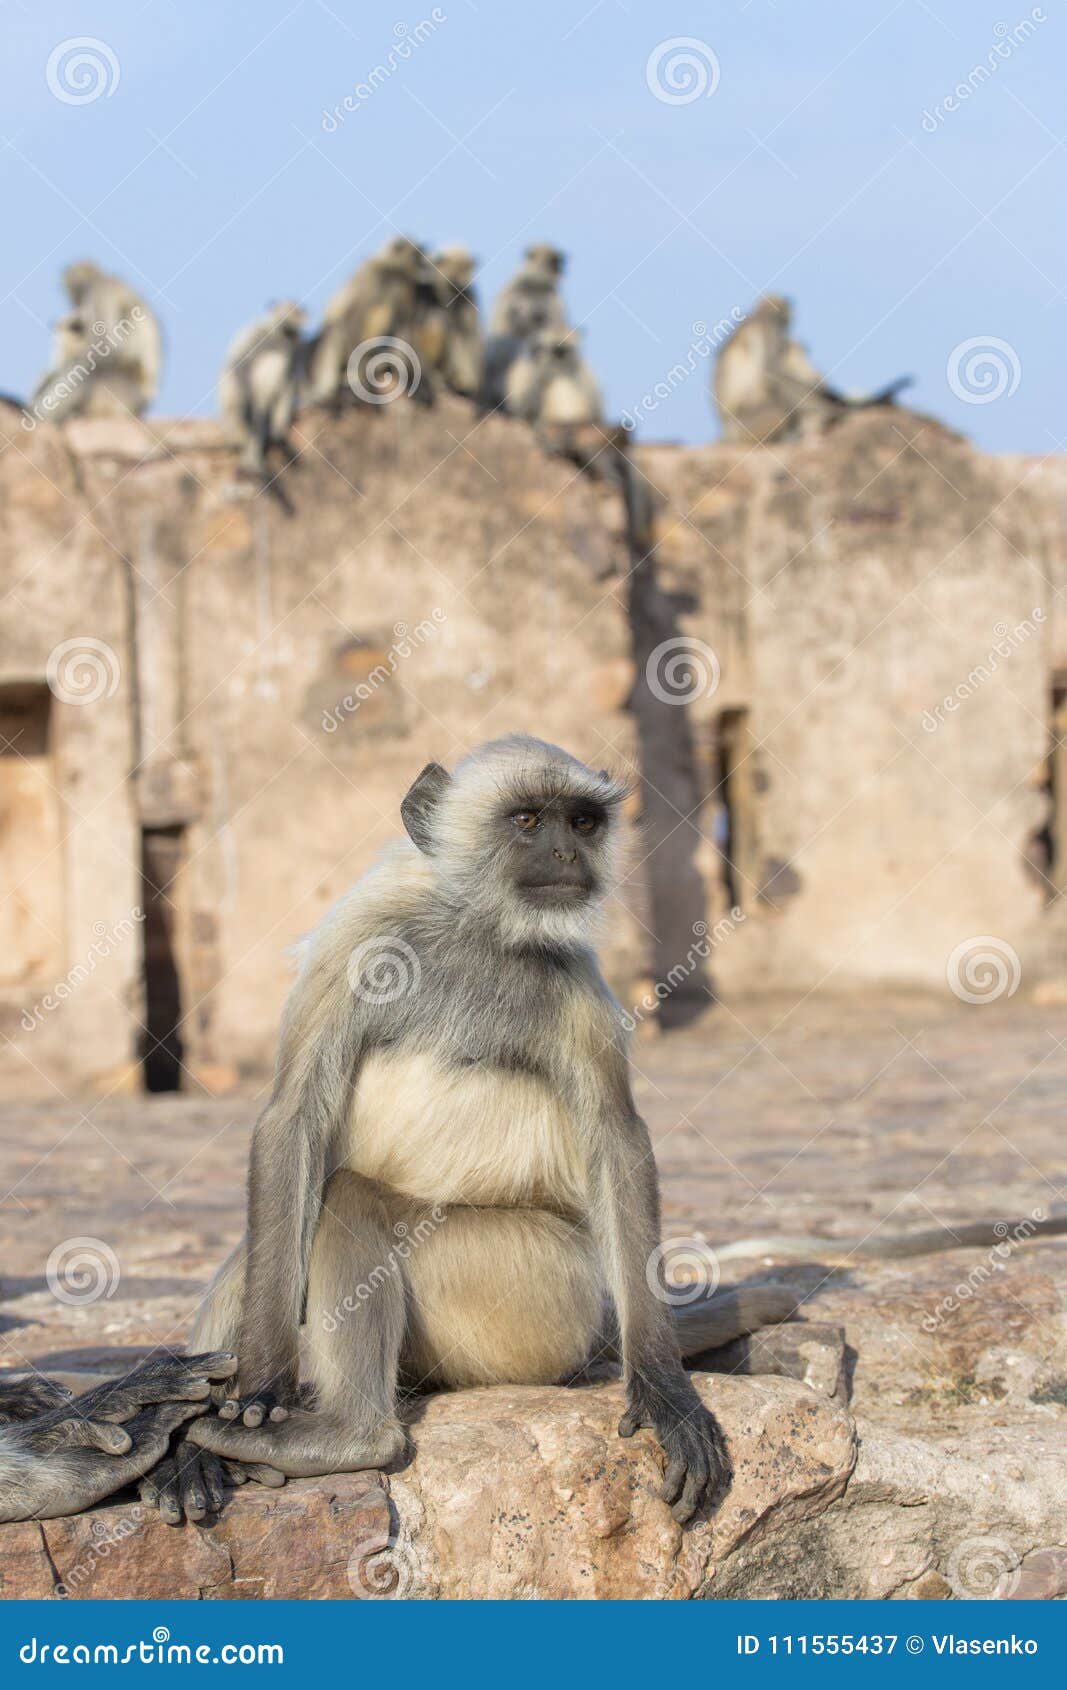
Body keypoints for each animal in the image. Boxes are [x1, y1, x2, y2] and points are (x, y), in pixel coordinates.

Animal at [140, 736, 797, 1527]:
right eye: (527, 819)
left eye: (581, 822)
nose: (567, 854)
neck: (475, 932)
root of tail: (596, 1320)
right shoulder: (360, 938)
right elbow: (293, 1119)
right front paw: (262, 1388)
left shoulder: (576, 983)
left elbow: (616, 1143)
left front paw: (664, 1388)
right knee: (279, 1225)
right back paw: (206, 1452)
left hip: (534, 1290)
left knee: (349, 1194)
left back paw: (349, 1437)